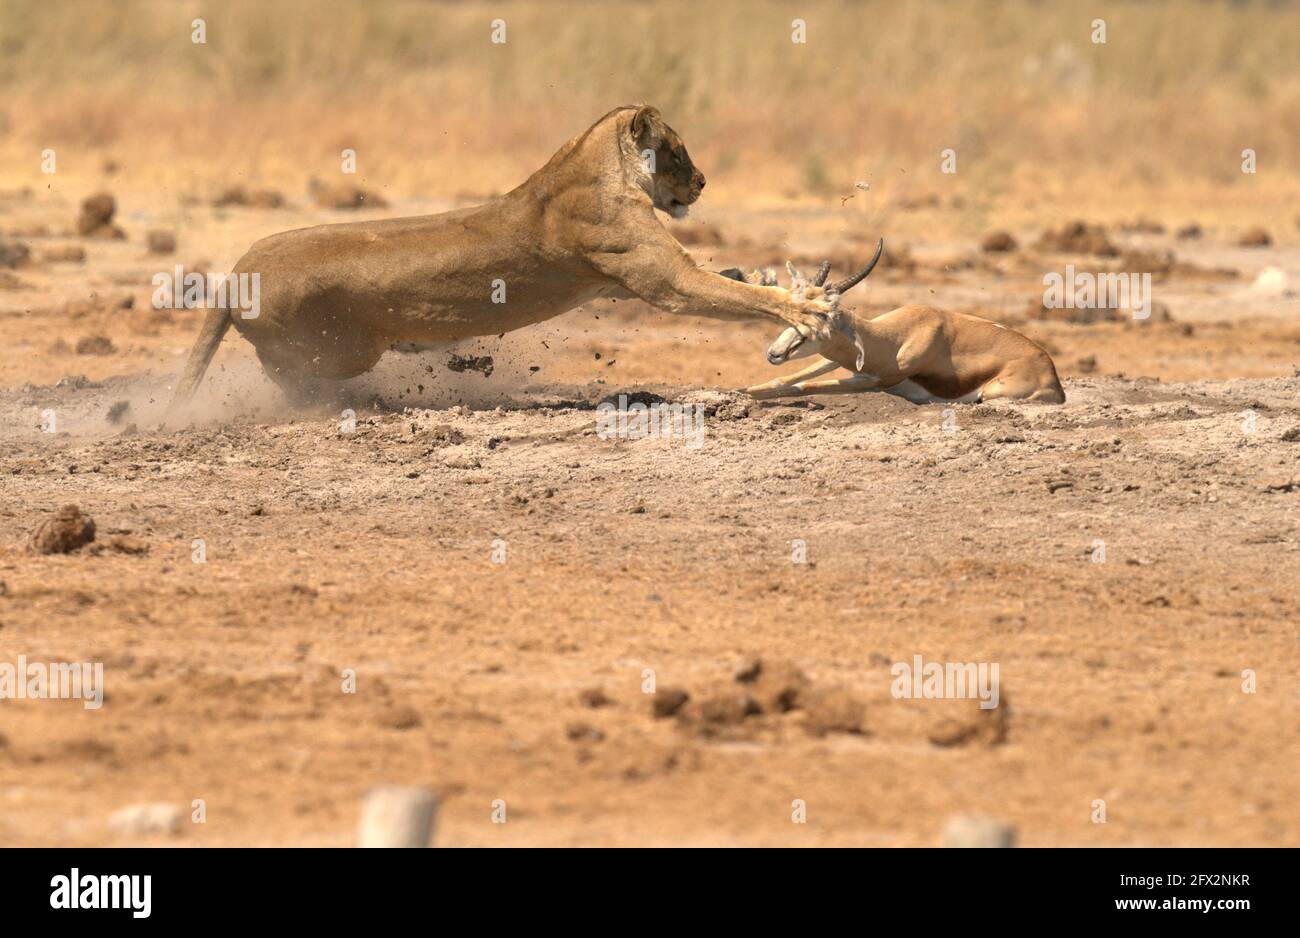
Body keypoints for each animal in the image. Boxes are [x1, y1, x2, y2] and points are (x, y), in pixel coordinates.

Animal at [169, 105, 853, 412]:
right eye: (679, 153)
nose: (705, 182)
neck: (592, 164)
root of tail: (234, 276)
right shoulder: (664, 281)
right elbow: (734, 294)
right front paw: (807, 309)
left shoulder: (624, 279)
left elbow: (730, 280)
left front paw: (762, 276)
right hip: (340, 348)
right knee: (284, 373)